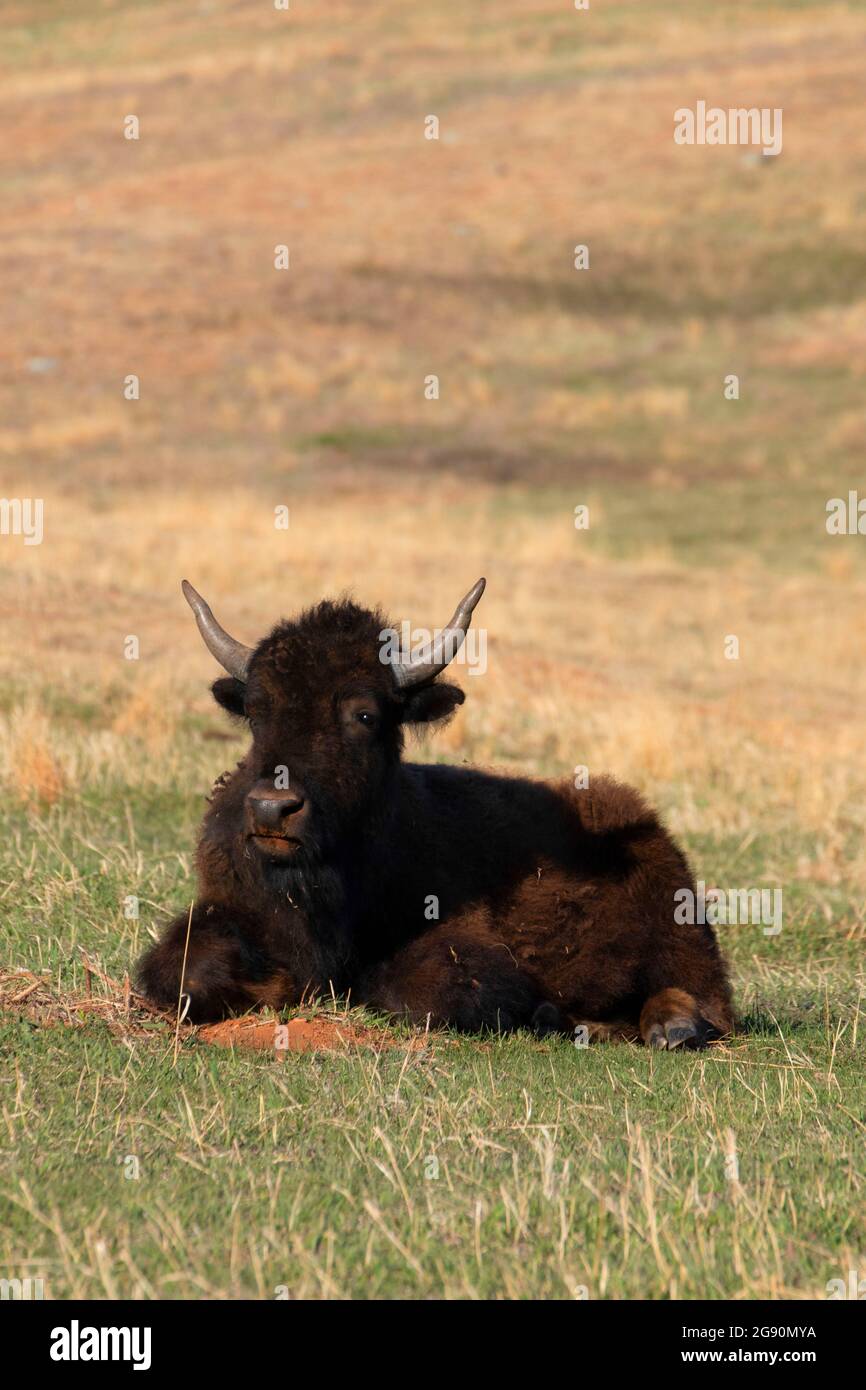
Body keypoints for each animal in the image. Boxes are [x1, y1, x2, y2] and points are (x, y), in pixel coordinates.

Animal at [136, 579, 733, 1047]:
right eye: (257, 712)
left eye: (364, 714)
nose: (271, 808)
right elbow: (181, 972)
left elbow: (417, 988)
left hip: (680, 943)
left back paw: (663, 1028)